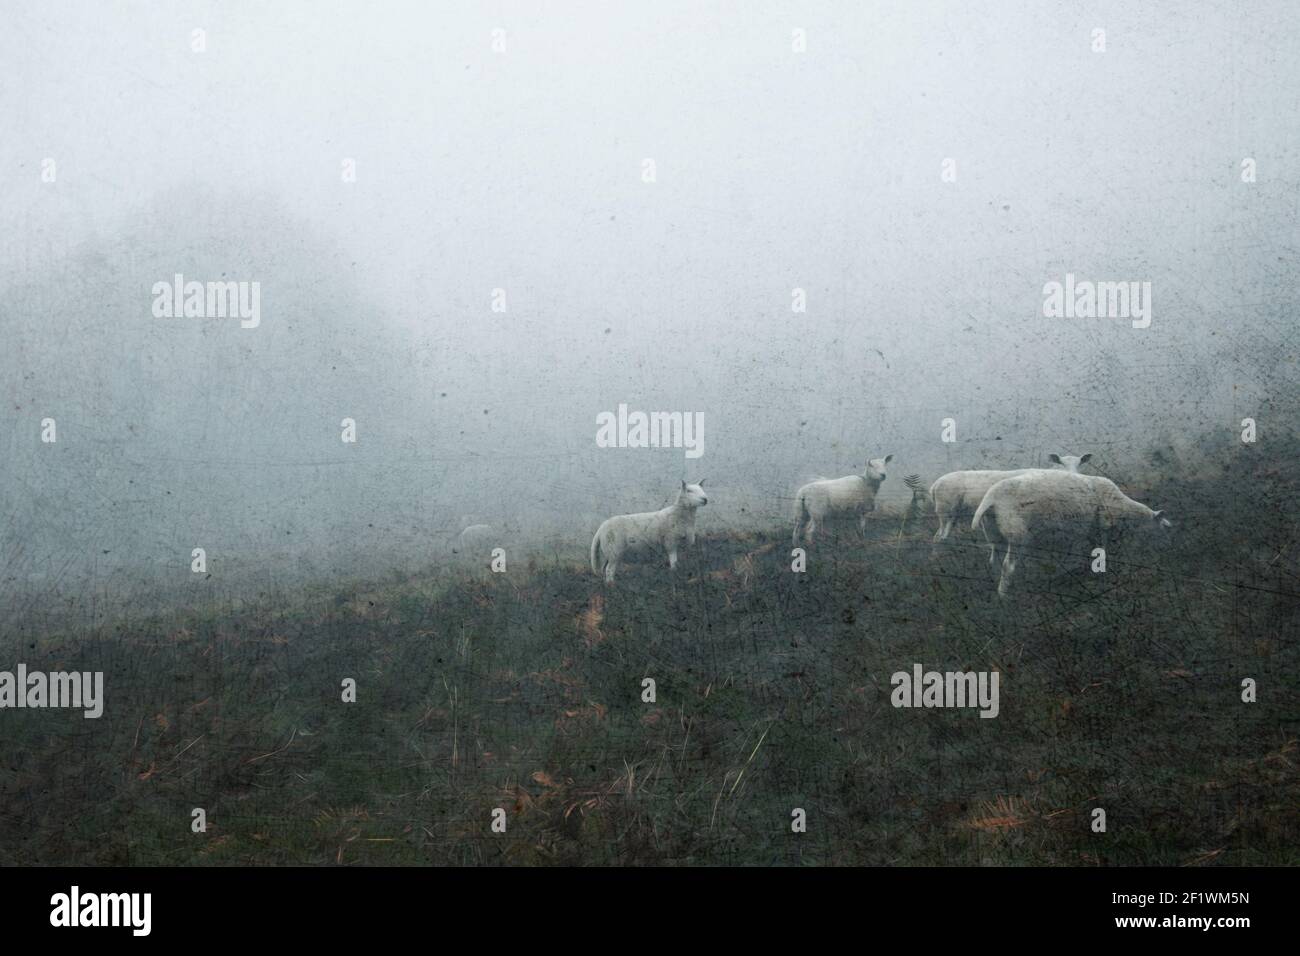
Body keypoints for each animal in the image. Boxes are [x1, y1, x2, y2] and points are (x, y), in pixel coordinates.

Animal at [929, 453, 1092, 543]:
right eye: (1061, 463)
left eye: (1080, 464)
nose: (1075, 476)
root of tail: (935, 485)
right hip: (944, 509)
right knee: (939, 536)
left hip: (953, 514)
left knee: (941, 536)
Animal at [972, 470, 1171, 596]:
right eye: (1165, 527)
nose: (1171, 544)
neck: (1123, 506)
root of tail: (990, 500)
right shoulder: (1103, 525)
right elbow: (1102, 549)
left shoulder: (1089, 530)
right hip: (1017, 533)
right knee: (1009, 565)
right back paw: (1005, 595)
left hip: (994, 534)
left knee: (994, 561)